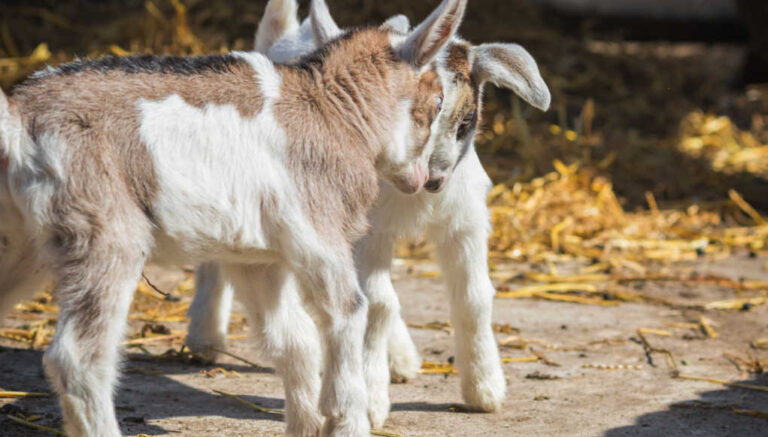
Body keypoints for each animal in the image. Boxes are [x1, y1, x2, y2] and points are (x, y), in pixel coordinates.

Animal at [0, 0, 468, 434]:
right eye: (437, 101)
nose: (426, 180)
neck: (332, 110)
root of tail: (20, 119)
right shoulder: (320, 235)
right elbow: (348, 312)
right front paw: (348, 421)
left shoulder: (256, 259)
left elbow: (294, 343)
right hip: (103, 231)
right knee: (78, 360)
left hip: (22, 245)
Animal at [186, 0, 551, 429]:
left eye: (465, 121)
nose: (432, 180)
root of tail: (286, 37)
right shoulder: (365, 235)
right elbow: (378, 304)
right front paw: (373, 401)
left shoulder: (463, 224)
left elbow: (474, 297)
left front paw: (485, 390)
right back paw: (205, 338)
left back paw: (403, 359)